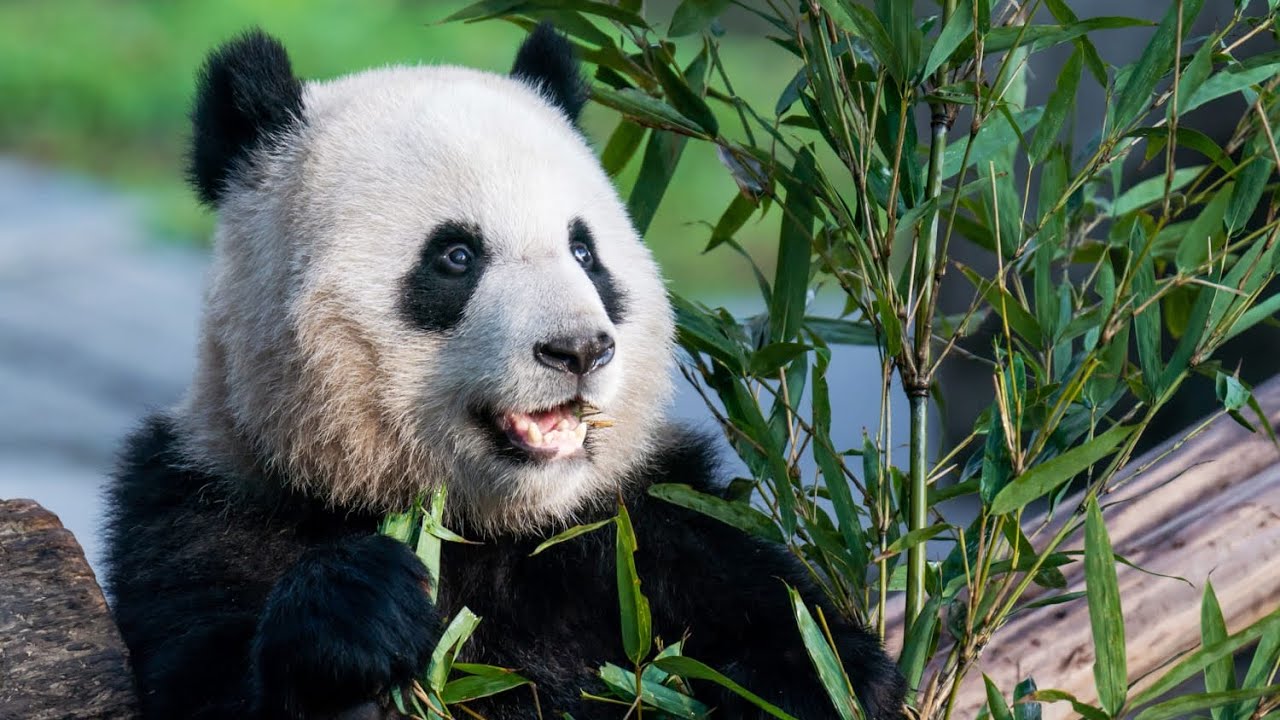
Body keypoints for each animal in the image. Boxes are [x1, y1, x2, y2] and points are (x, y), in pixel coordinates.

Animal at [103, 24, 906, 720]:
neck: (493, 526)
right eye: (456, 256)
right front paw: (361, 608)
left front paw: (798, 677)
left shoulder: (648, 522)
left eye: (584, 252)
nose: (579, 349)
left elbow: (812, 647)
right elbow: (207, 675)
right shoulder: (209, 511)